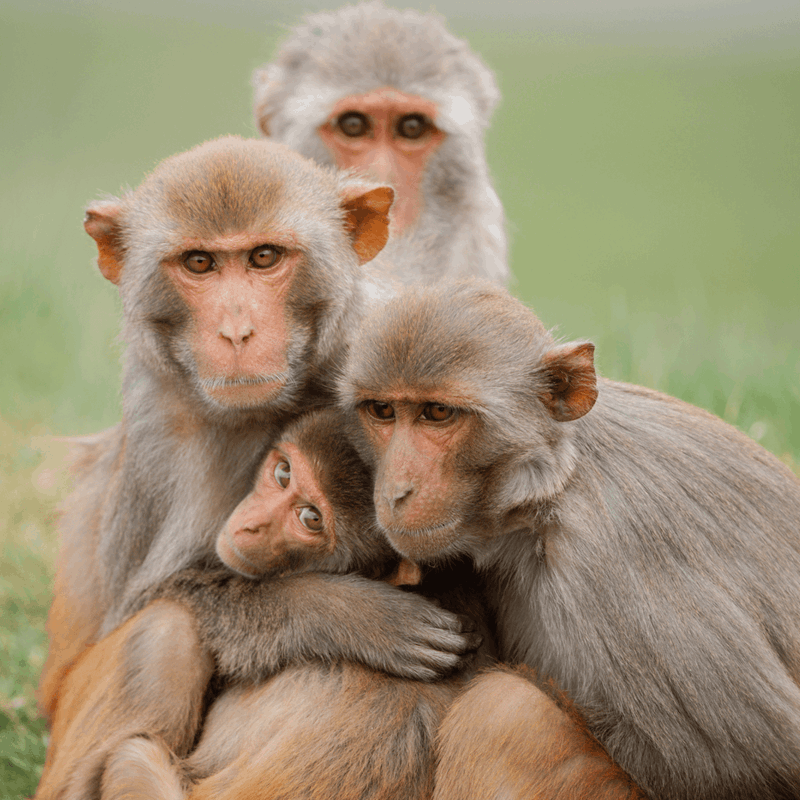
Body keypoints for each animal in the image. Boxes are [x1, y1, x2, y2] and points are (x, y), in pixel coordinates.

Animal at [36, 137, 477, 760]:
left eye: (265, 257)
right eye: (199, 263)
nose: (236, 331)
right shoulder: (157, 430)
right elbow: (146, 599)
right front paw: (338, 614)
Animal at [338, 279, 800, 800]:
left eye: (437, 413)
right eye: (383, 411)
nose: (395, 491)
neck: (549, 493)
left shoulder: (611, 565)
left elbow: (757, 764)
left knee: (504, 711)